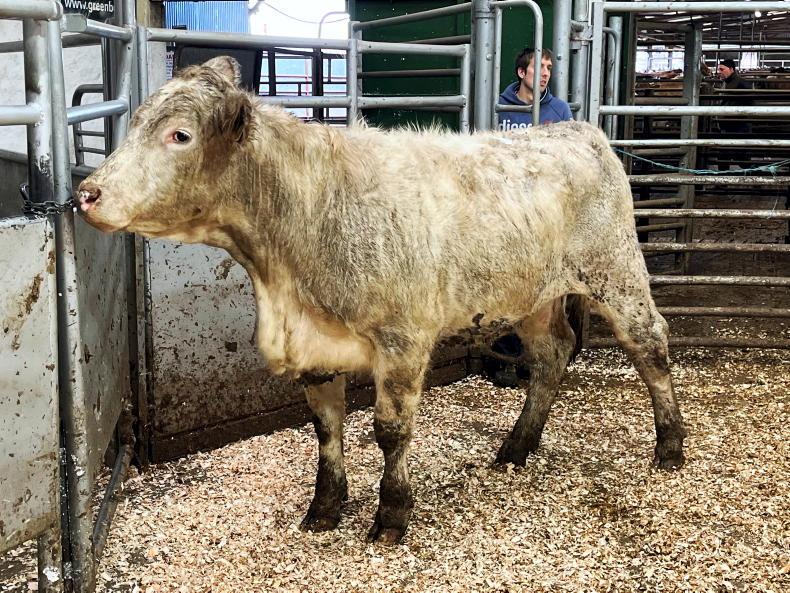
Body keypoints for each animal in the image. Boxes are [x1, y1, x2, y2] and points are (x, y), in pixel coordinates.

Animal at [77, 56, 686, 544]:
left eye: (179, 135)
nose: (87, 193)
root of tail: (577, 130)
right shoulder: (316, 349)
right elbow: (326, 429)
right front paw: (324, 508)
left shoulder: (403, 341)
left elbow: (390, 431)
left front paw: (391, 514)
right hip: (533, 295)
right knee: (552, 354)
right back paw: (517, 446)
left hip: (616, 271)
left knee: (650, 344)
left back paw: (670, 446)